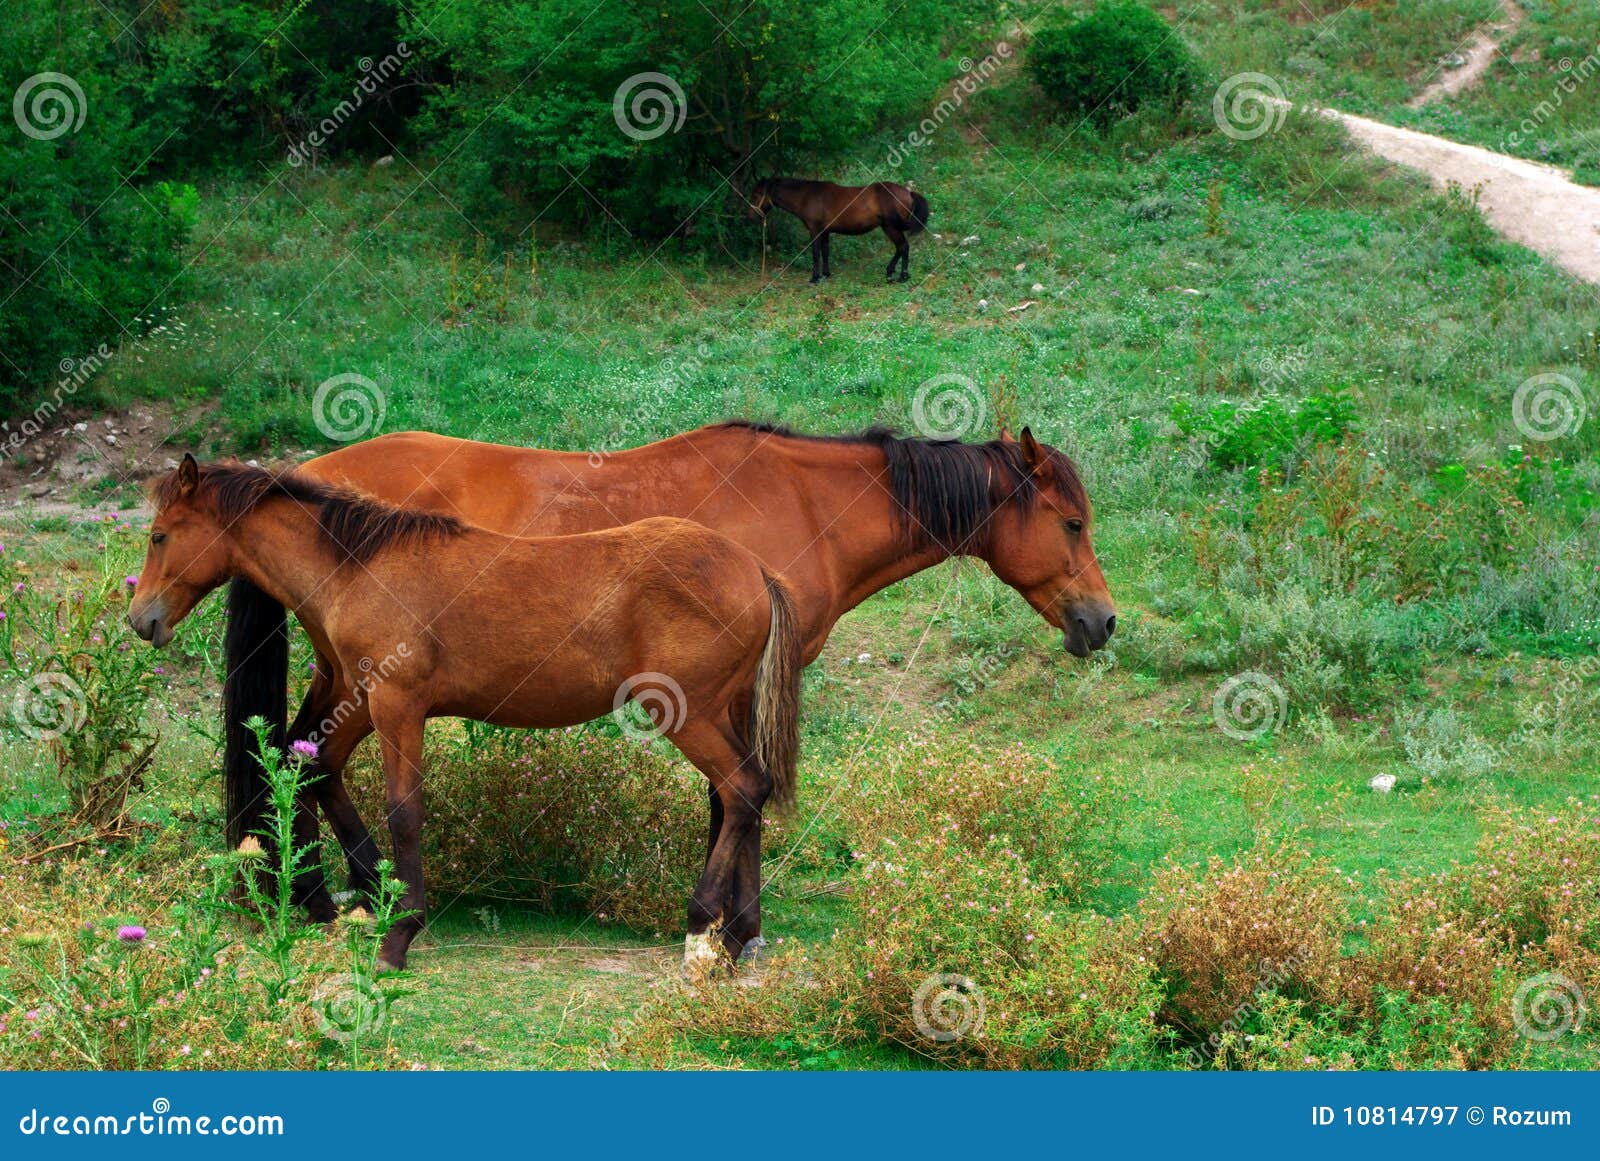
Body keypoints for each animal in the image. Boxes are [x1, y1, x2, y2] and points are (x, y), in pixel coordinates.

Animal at [130, 456, 803, 972]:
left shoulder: (397, 706)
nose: (141, 620)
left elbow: (404, 812)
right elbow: (317, 770)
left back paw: (701, 930)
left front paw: (399, 932)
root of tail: (753, 570)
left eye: (160, 535)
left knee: (741, 788)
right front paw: (365, 895)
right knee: (744, 798)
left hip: (690, 715)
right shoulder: (359, 700)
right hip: (727, 712)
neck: (358, 569)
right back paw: (738, 936)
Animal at [224, 423, 1115, 940]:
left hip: (351, 678)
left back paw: (317, 893)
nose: (1103, 621)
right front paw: (733, 929)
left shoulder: (729, 694)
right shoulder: (724, 694)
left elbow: (736, 798)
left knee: (304, 758)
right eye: (1072, 523)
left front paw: (736, 927)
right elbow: (734, 800)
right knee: (307, 759)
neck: (803, 500)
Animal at [746, 178, 929, 283]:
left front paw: (814, 277)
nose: (750, 216)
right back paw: (892, 272)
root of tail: (908, 192)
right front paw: (826, 274)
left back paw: (901, 276)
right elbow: (825, 252)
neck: (808, 196)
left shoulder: (815, 231)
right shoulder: (825, 232)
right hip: (889, 227)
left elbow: (815, 253)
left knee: (903, 247)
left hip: (891, 227)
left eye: (756, 195)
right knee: (901, 247)